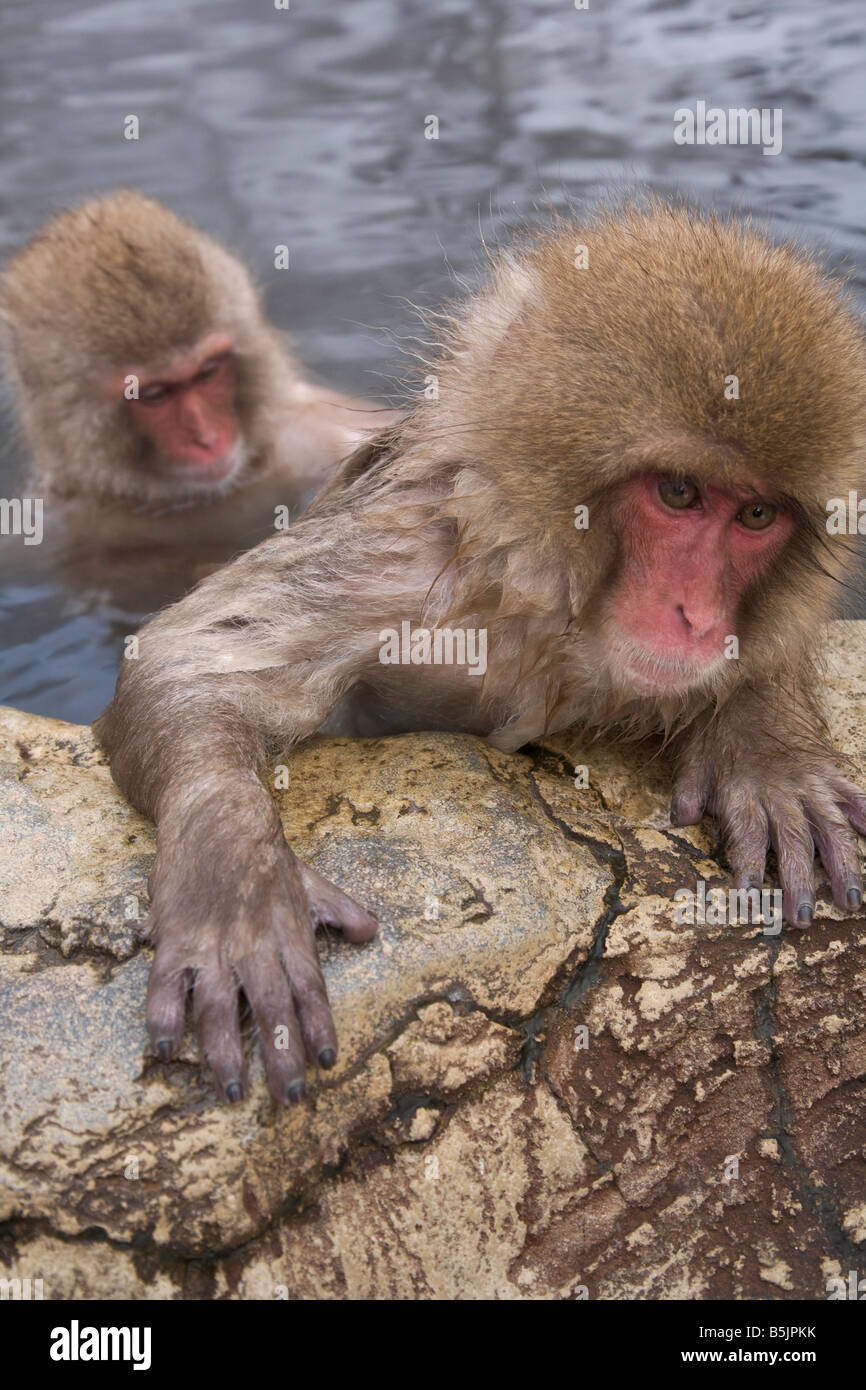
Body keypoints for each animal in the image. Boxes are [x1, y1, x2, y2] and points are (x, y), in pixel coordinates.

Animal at [94, 200, 866, 1107]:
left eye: (755, 518)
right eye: (679, 494)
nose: (697, 617)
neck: (562, 612)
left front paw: (768, 749)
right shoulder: (411, 557)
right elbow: (187, 658)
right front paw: (233, 881)